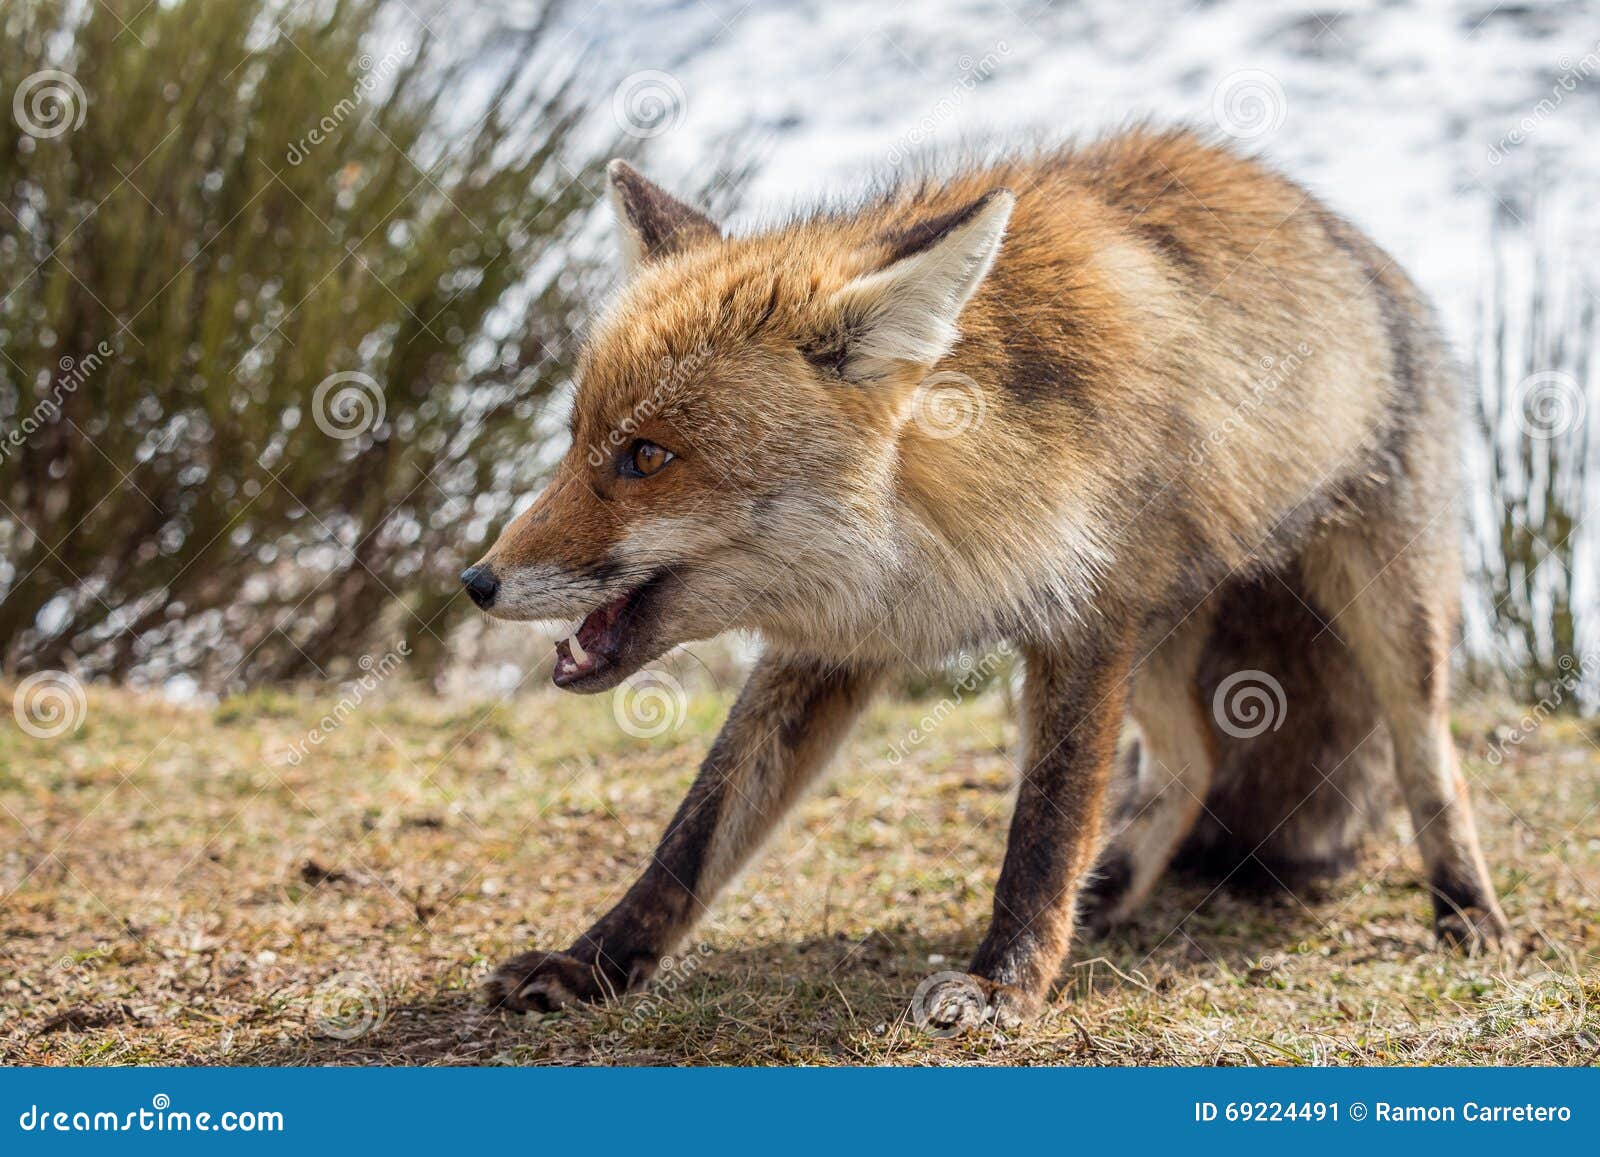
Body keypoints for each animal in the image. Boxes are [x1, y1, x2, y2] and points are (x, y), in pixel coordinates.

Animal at [462, 126, 1507, 1030]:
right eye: (575, 440)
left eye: (646, 456)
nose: (476, 581)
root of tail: (1353, 236)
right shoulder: (833, 641)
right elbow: (694, 833)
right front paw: (594, 961)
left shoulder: (1087, 621)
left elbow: (1043, 830)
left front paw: (1004, 984)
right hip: (1166, 634)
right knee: (1195, 762)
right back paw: (1113, 890)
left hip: (1383, 612)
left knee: (1430, 756)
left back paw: (1466, 907)